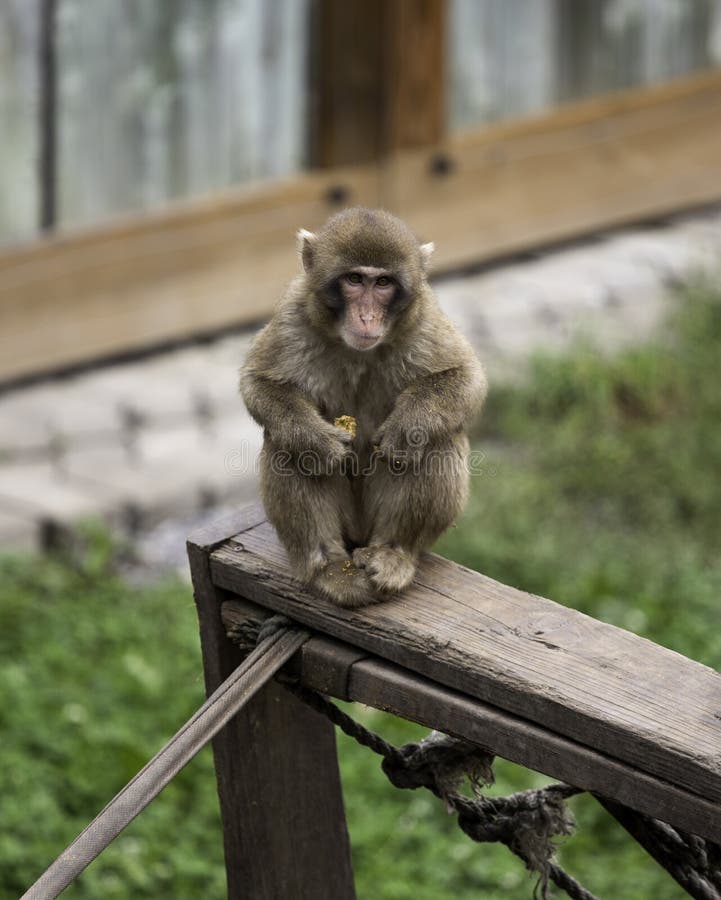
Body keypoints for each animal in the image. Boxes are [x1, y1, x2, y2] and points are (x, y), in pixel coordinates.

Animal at [240, 207, 486, 607]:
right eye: (355, 279)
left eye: (383, 282)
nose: (367, 316)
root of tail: (359, 536)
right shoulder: (294, 314)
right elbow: (259, 383)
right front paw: (315, 441)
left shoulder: (423, 318)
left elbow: (466, 377)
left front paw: (408, 427)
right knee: (284, 446)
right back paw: (327, 566)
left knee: (437, 442)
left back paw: (394, 552)